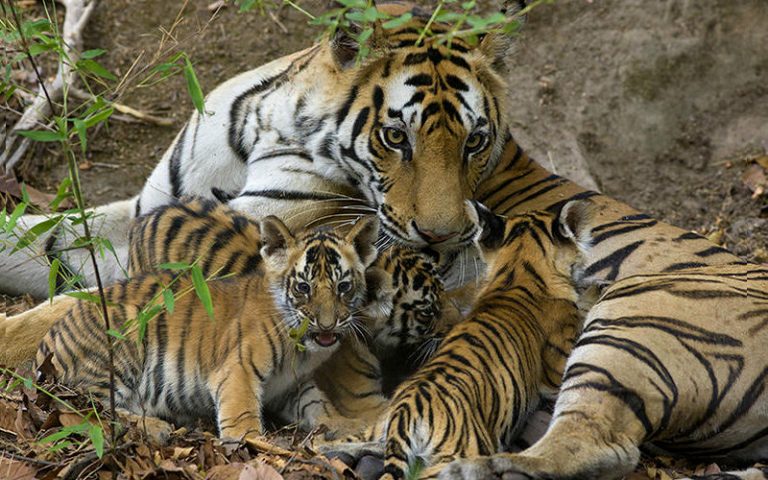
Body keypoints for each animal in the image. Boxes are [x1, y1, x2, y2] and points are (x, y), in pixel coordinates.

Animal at [0, 0, 528, 298]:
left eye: (475, 141)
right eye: (396, 137)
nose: (444, 238)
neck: (274, 126)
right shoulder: (147, 211)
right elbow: (37, 239)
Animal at [31, 215, 379, 445]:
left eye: (344, 287)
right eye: (304, 287)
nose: (327, 325)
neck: (302, 349)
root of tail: (45, 344)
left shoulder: (291, 386)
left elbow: (318, 403)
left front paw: (342, 424)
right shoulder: (238, 371)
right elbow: (242, 416)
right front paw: (254, 444)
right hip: (119, 349)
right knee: (88, 407)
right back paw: (156, 428)